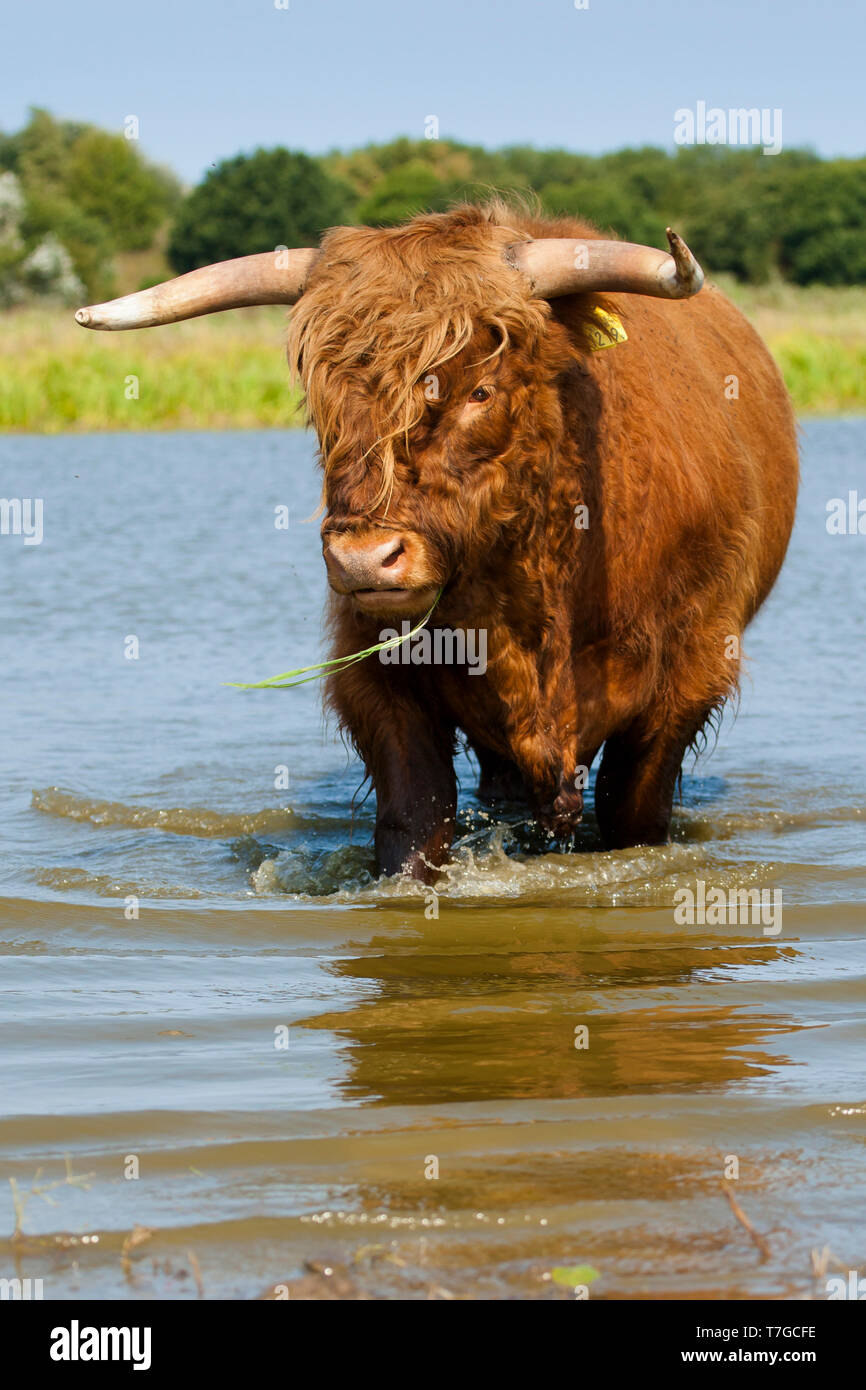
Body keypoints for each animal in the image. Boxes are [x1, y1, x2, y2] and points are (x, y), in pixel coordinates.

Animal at [75, 201, 799, 882]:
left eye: (481, 390)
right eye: (324, 405)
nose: (363, 559)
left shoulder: (688, 673)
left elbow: (634, 815)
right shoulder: (377, 675)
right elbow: (414, 821)